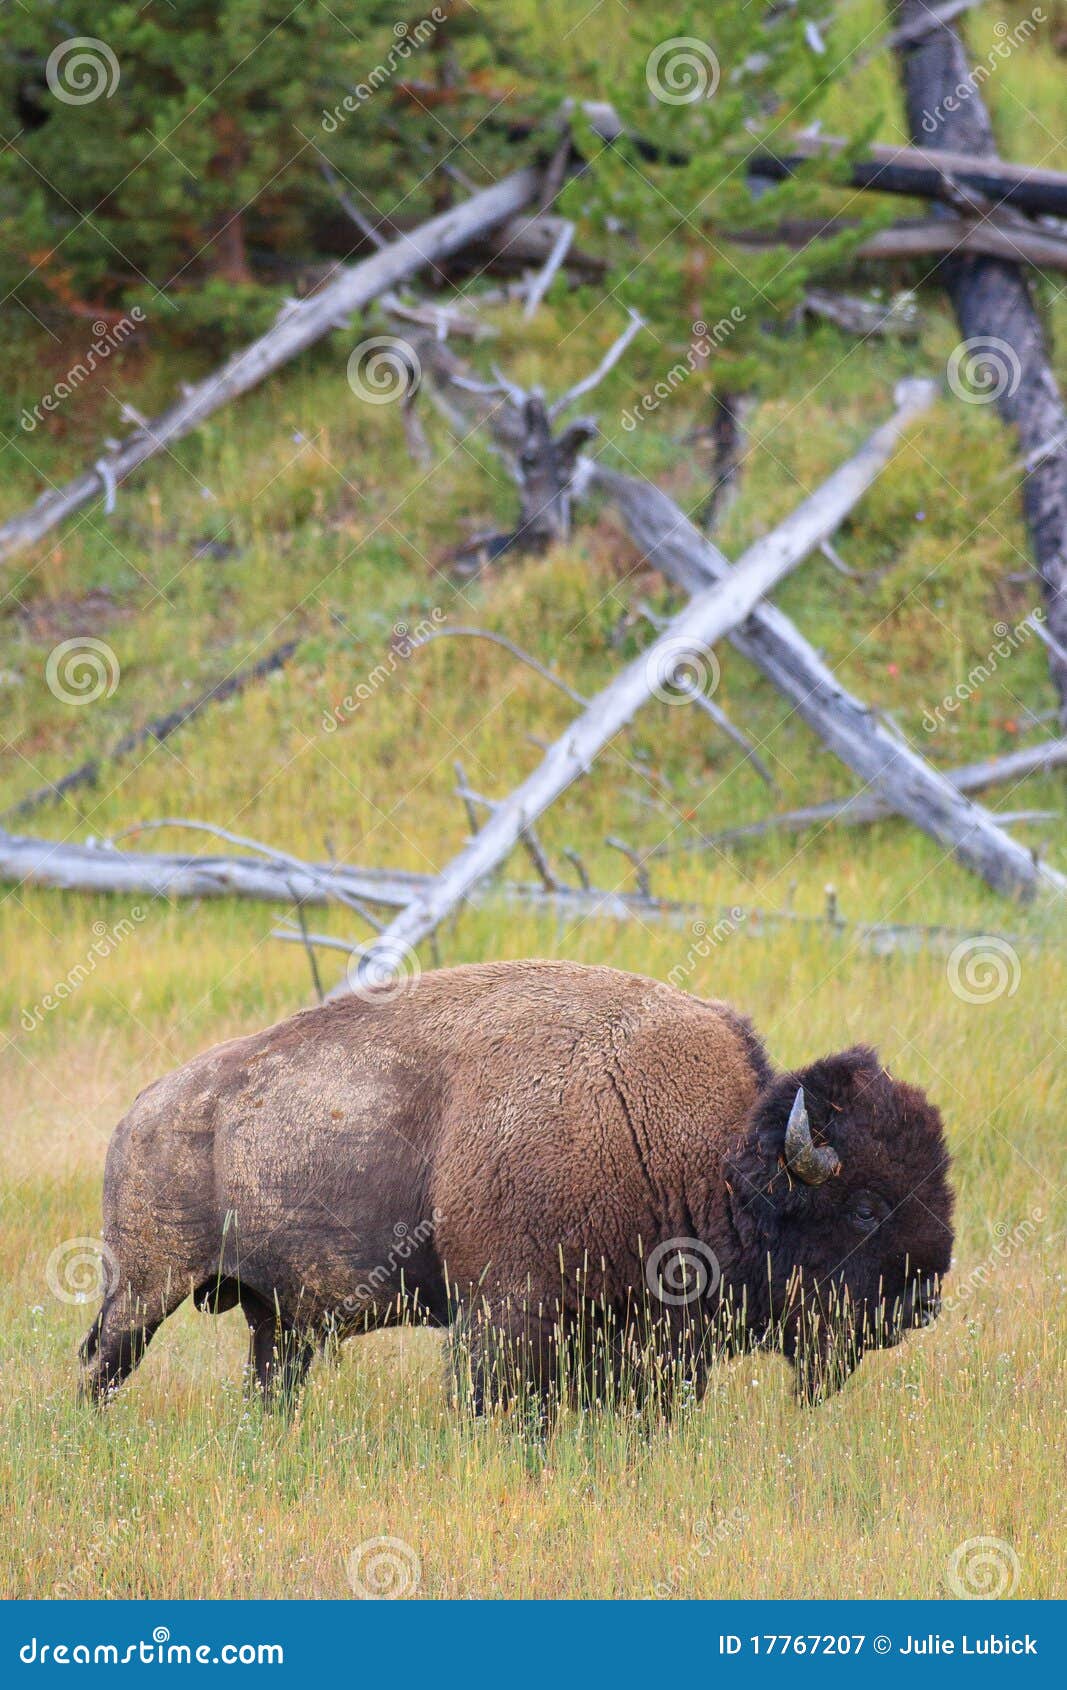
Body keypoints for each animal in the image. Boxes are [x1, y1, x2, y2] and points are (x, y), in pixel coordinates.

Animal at [80, 960, 953, 1415]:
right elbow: (501, 1400)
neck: (706, 1152)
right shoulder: (508, 1311)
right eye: (865, 1206)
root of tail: (145, 1109)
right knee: (102, 1364)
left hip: (276, 1320)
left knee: (269, 1379)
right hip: (145, 1289)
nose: (923, 1300)